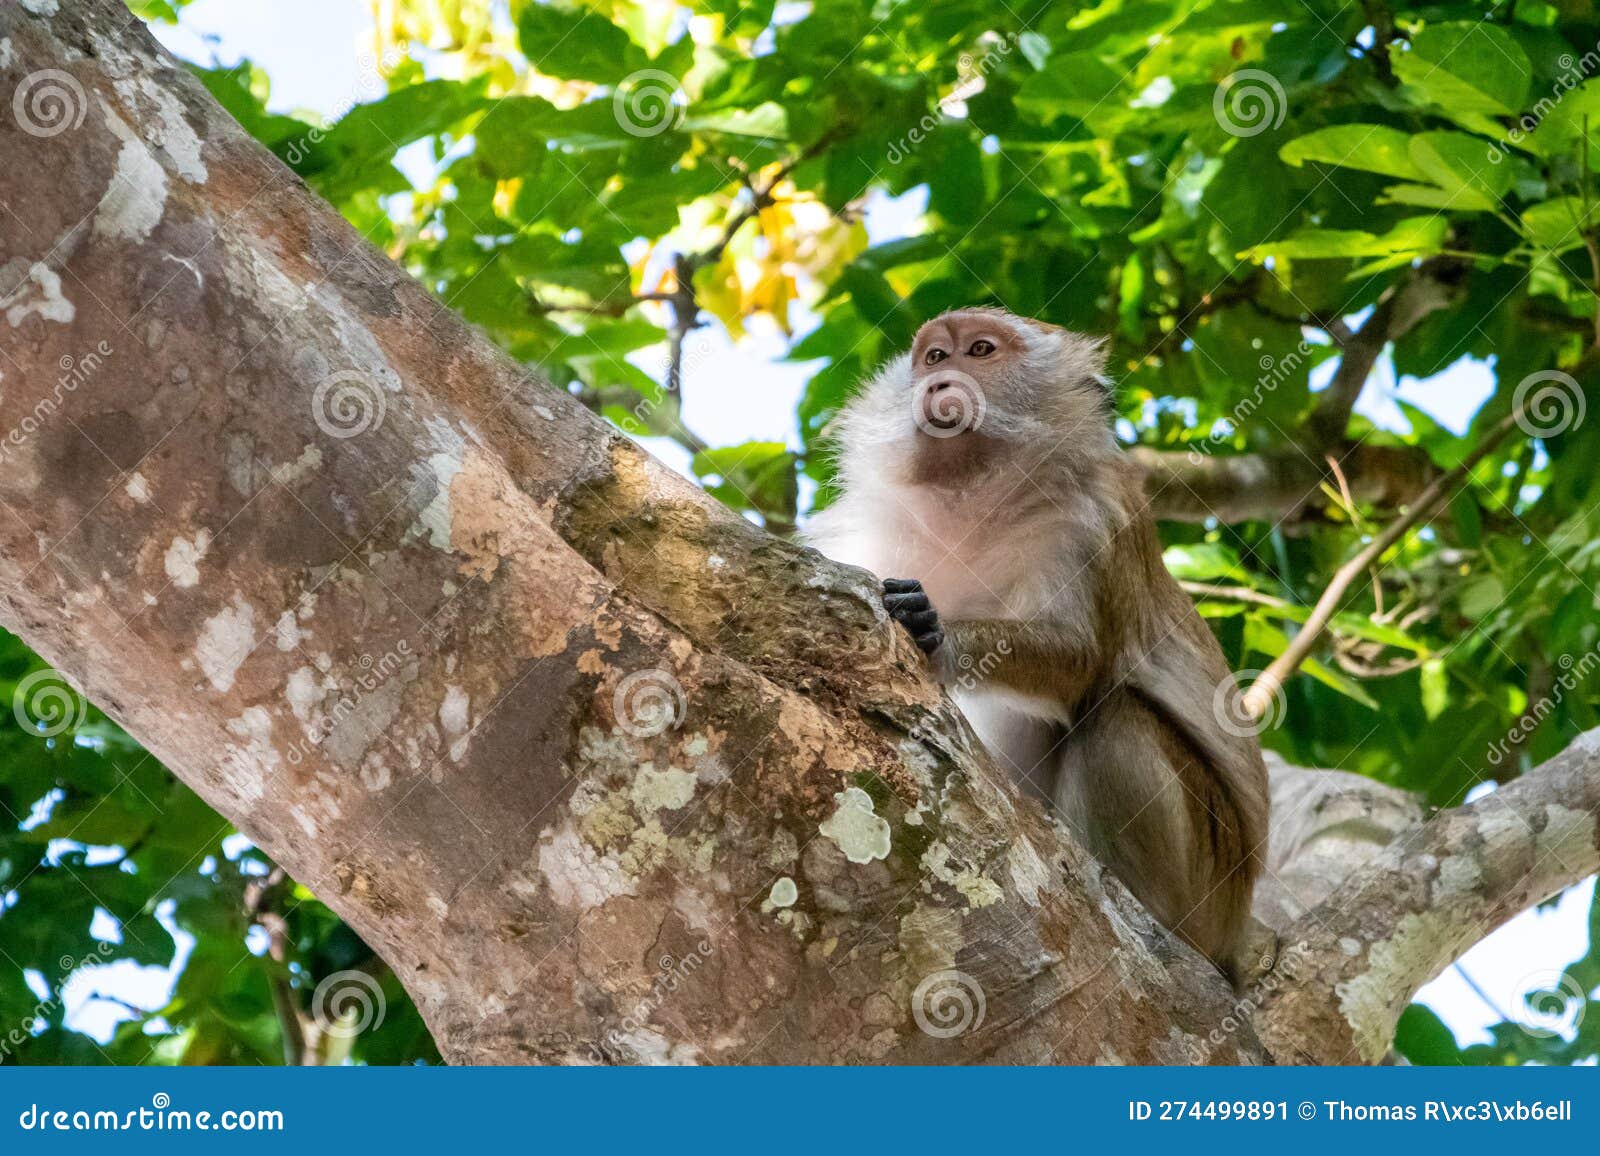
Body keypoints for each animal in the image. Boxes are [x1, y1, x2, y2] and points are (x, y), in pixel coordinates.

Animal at [803, 306, 1270, 983]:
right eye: (935, 357)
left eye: (981, 350)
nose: (942, 379)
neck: (971, 494)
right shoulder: (867, 529)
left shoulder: (1091, 519)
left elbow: (1079, 667)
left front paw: (935, 630)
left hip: (1211, 878)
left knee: (1117, 720)